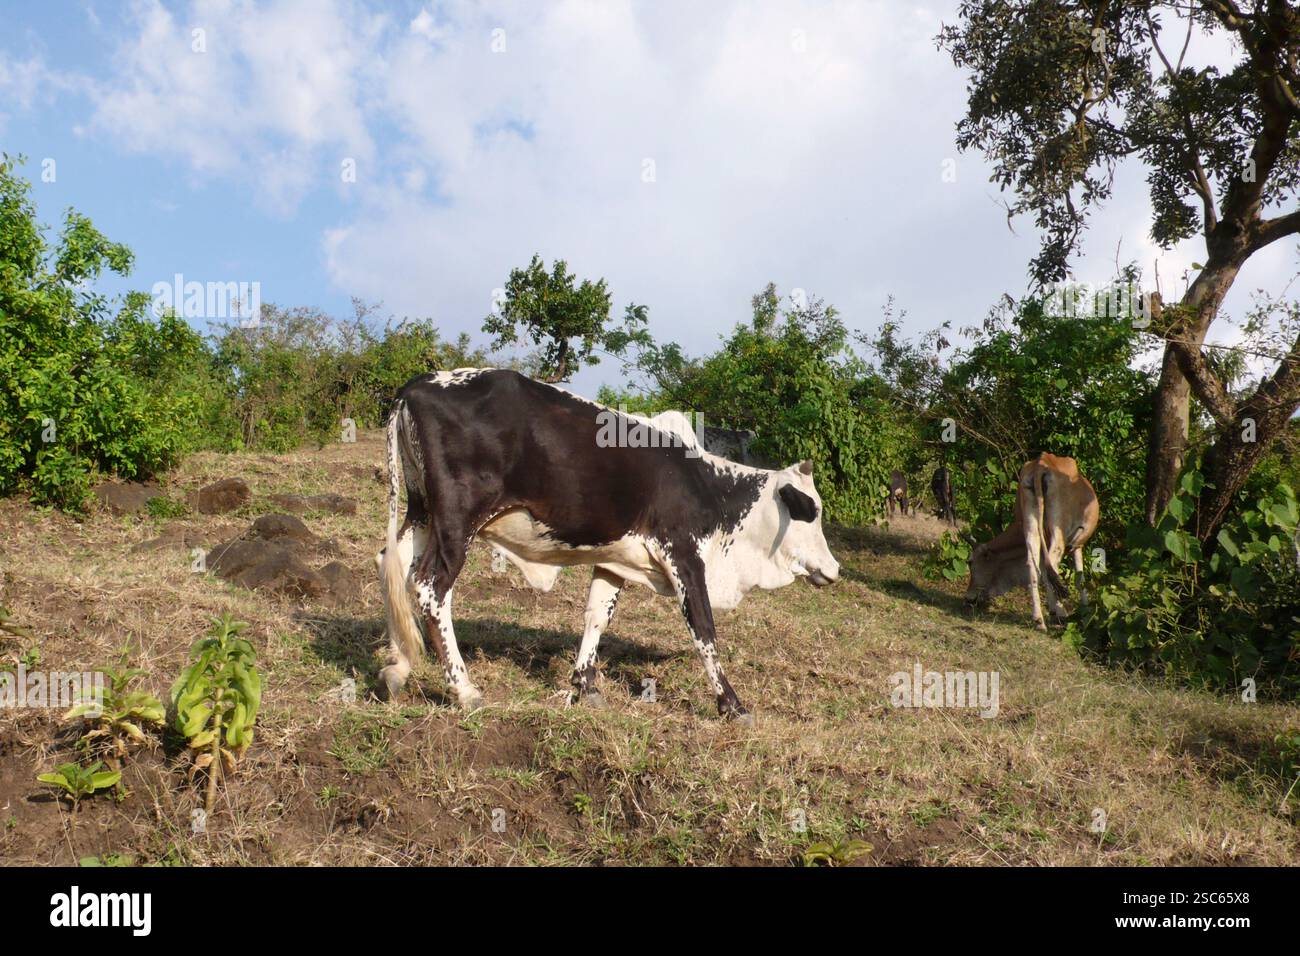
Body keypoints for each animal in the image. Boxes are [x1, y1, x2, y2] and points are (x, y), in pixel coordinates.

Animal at [374, 368, 840, 723]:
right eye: (811, 511)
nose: (836, 569)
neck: (708, 488)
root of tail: (419, 384)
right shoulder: (686, 558)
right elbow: (704, 631)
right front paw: (732, 704)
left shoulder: (616, 560)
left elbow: (597, 617)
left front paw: (584, 685)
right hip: (457, 524)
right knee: (431, 587)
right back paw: (463, 687)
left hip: (422, 514)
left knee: (390, 565)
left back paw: (398, 664)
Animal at [964, 453, 1099, 630]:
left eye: (970, 562)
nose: (968, 597)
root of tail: (1041, 463)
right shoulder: (1076, 545)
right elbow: (1079, 578)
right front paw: (1081, 611)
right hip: (1058, 531)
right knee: (1052, 564)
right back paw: (1058, 614)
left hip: (1032, 526)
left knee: (1032, 563)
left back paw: (1039, 619)